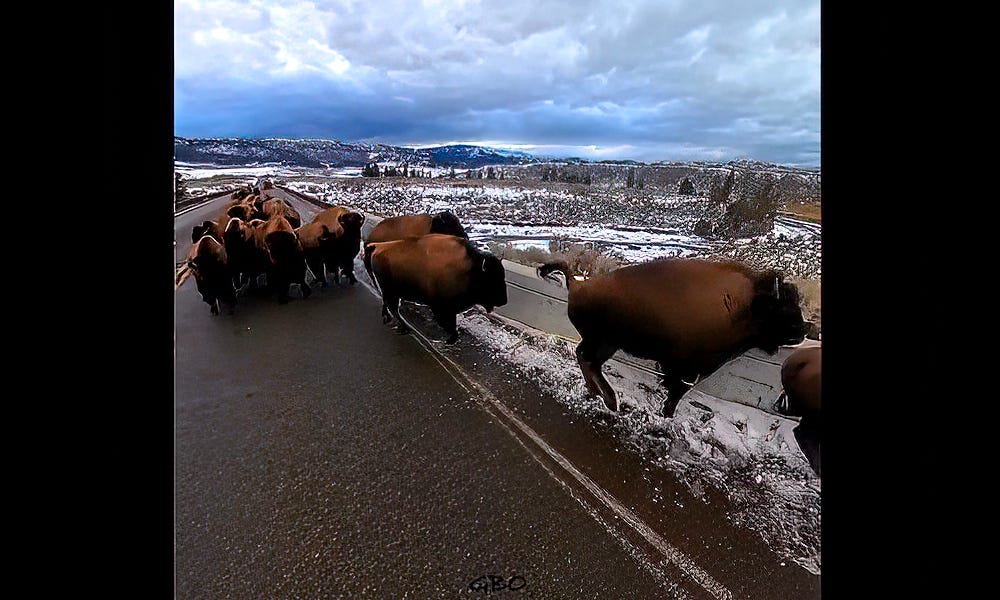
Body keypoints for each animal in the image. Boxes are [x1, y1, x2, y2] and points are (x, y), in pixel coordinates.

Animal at [366, 233, 507, 344]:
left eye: (502, 275)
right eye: (491, 279)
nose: (503, 300)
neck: (470, 269)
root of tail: (378, 246)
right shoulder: (441, 307)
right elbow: (449, 324)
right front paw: (451, 339)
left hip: (390, 290)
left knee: (387, 303)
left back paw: (389, 319)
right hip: (391, 290)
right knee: (393, 307)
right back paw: (404, 328)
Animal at [539, 257, 807, 416]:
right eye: (782, 308)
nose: (802, 331)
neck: (742, 306)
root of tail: (577, 285)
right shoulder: (691, 369)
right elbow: (678, 391)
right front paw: (667, 412)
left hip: (601, 343)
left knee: (584, 359)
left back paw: (598, 394)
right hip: (605, 342)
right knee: (588, 361)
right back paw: (612, 401)